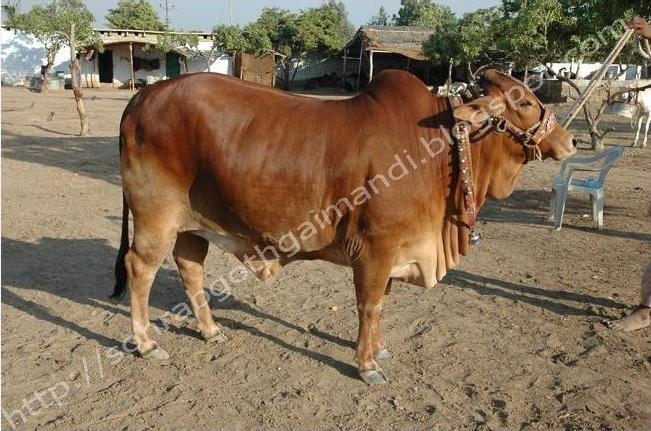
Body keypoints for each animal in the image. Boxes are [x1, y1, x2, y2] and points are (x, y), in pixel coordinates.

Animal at [113, 69, 575, 385]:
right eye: (525, 102)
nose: (570, 141)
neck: (442, 148)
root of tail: (144, 95)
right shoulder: (376, 248)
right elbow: (369, 306)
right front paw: (367, 365)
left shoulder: (395, 253)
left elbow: (383, 304)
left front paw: (379, 350)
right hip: (156, 217)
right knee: (140, 269)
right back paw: (147, 344)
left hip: (193, 224)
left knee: (189, 267)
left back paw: (210, 331)